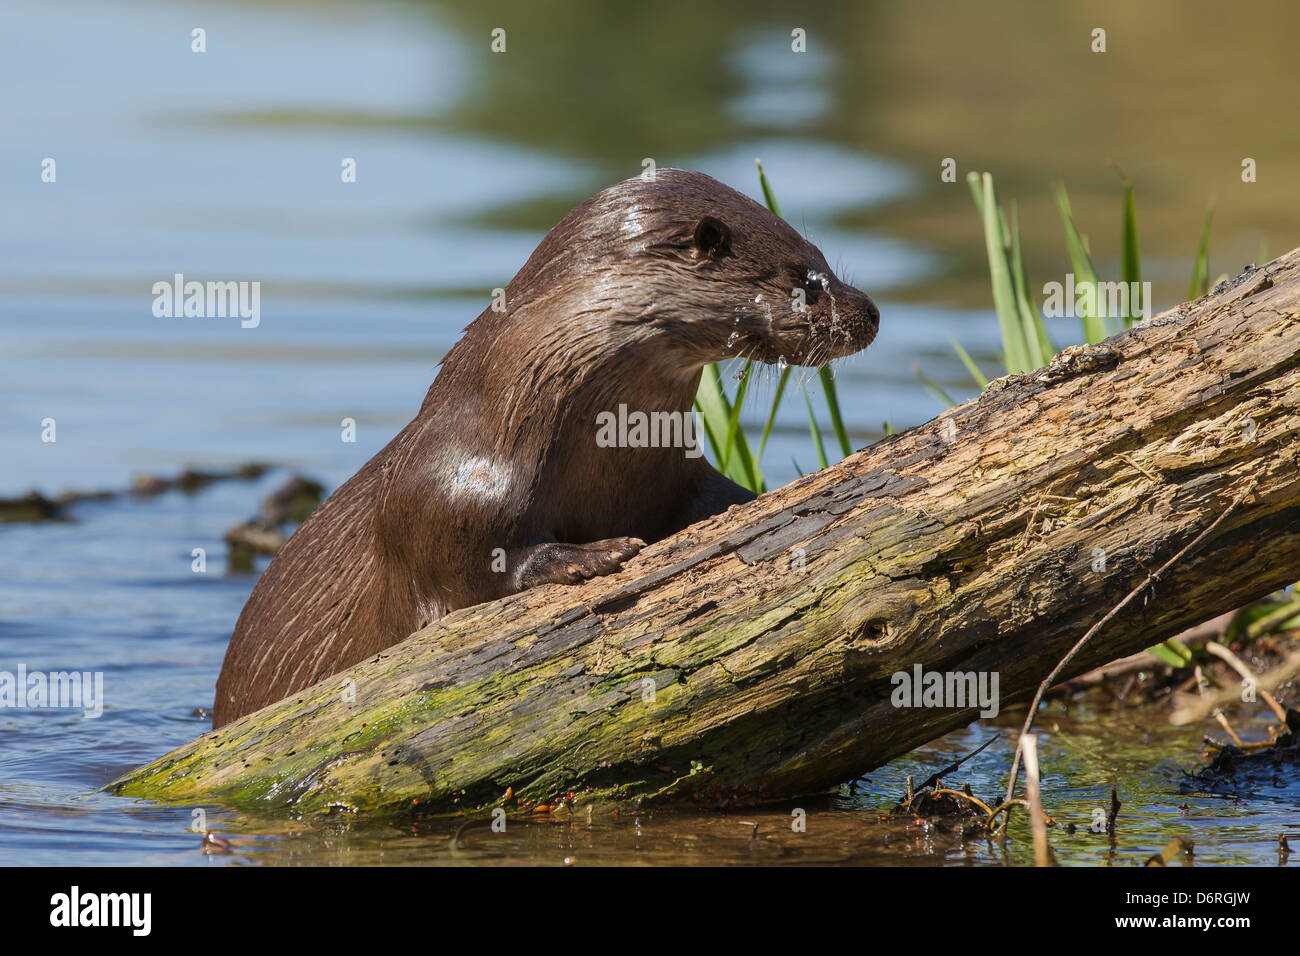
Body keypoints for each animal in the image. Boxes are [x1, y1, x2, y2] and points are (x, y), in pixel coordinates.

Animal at [213, 168, 879, 727]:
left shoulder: (676, 474)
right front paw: (590, 555)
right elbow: (467, 558)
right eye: (805, 281)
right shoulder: (443, 491)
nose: (870, 312)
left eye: (824, 259)